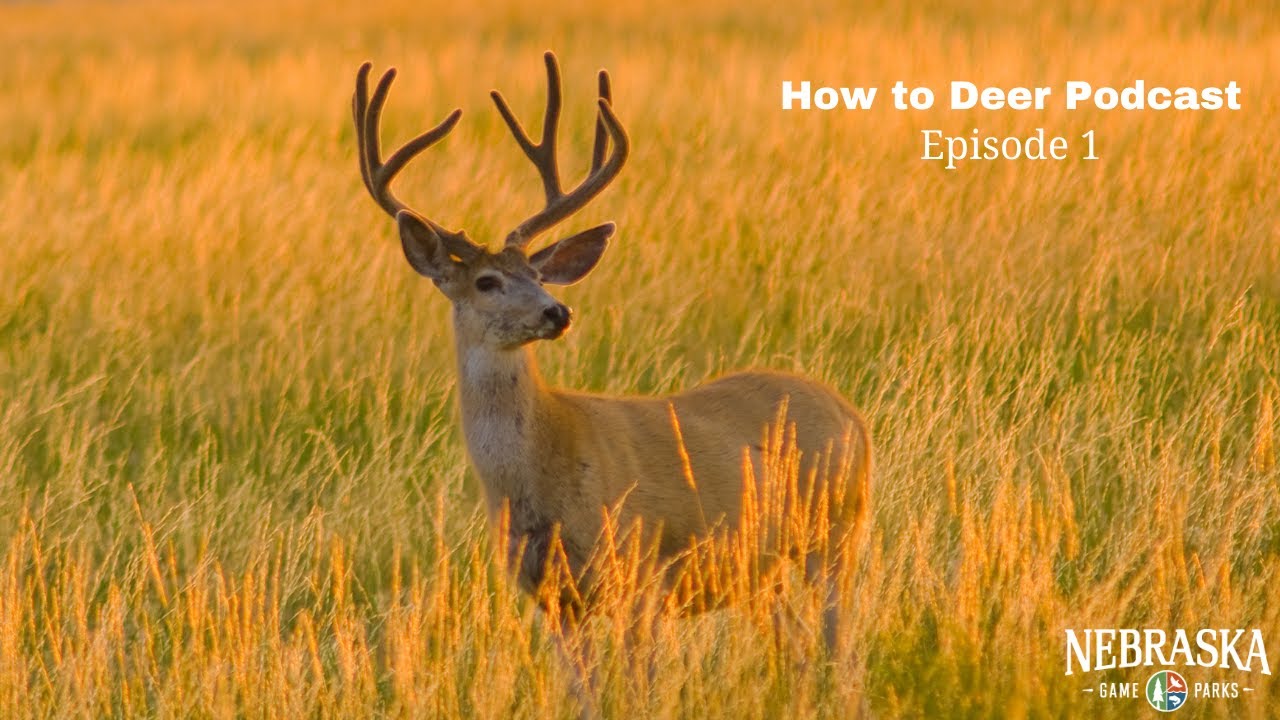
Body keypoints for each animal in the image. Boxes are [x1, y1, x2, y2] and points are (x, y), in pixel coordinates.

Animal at [351, 51, 873, 689]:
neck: (540, 478)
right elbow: (588, 694)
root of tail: (852, 414)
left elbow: (638, 686)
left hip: (835, 530)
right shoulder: (551, 597)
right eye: (487, 281)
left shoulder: (640, 568)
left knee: (841, 651)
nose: (557, 312)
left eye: (539, 275)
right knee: (800, 647)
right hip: (760, 569)